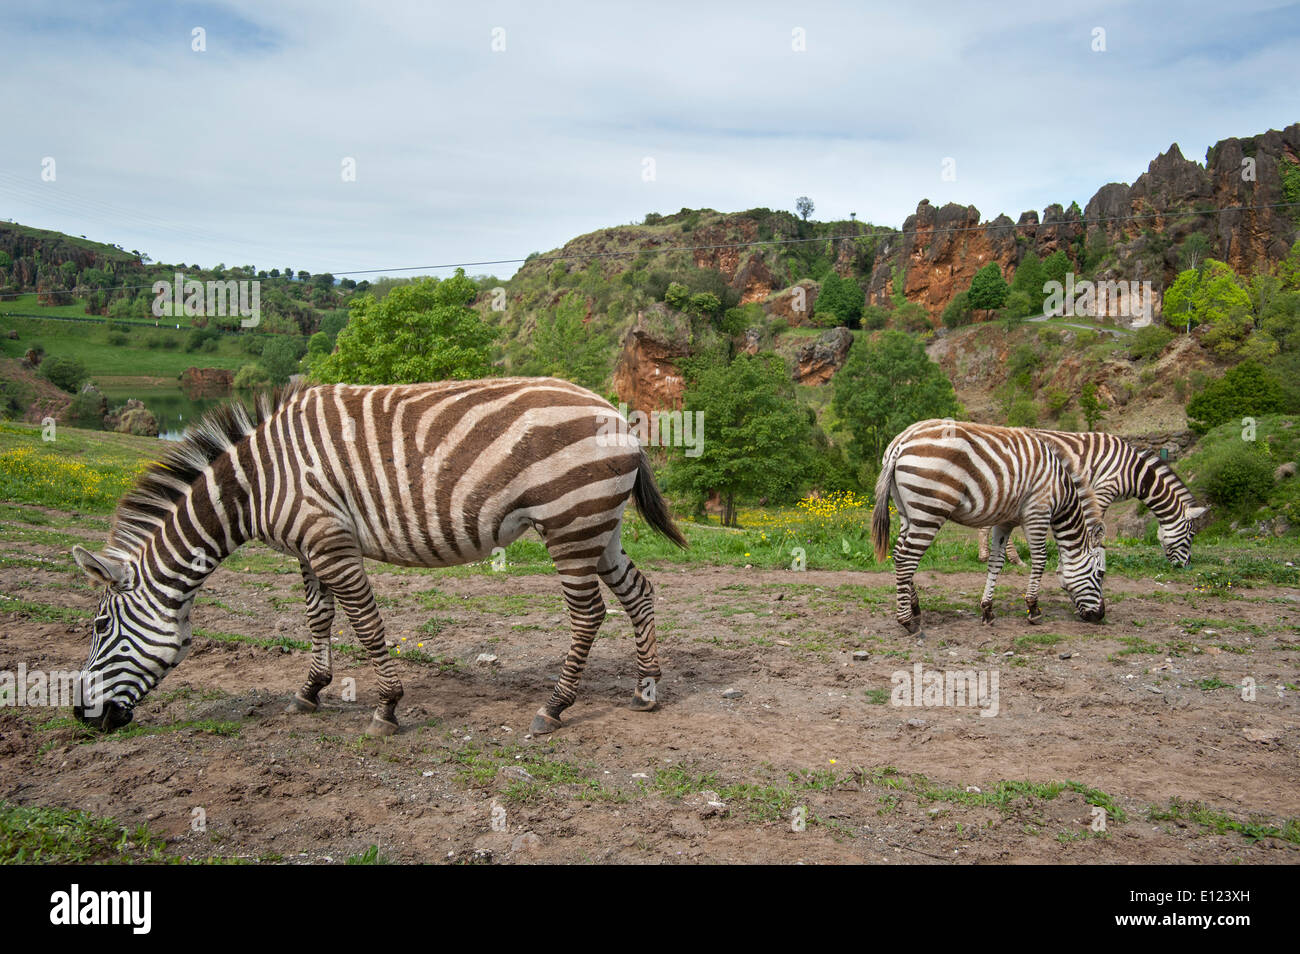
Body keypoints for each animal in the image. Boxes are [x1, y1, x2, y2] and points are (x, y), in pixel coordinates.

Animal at [70, 378, 687, 737]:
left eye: (100, 627)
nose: (80, 714)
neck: (256, 484)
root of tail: (615, 413)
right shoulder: (309, 546)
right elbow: (319, 617)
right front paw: (309, 692)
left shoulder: (330, 540)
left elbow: (365, 624)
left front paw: (387, 707)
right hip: (598, 526)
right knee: (638, 592)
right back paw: (646, 690)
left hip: (569, 522)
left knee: (588, 615)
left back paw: (553, 708)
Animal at [871, 419, 1107, 633]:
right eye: (1100, 574)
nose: (1100, 616)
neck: (1061, 489)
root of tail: (900, 442)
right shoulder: (1037, 512)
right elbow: (1040, 559)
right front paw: (1033, 609)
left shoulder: (1005, 521)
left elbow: (996, 562)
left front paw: (987, 610)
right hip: (930, 510)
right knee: (906, 559)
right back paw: (907, 622)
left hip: (907, 511)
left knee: (898, 553)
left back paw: (915, 608)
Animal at [977, 430, 1208, 568]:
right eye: (1192, 534)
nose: (1186, 566)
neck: (1135, 472)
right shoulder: (1104, 489)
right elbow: (1095, 523)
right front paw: (1092, 550)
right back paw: (1011, 558)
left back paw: (988, 555)